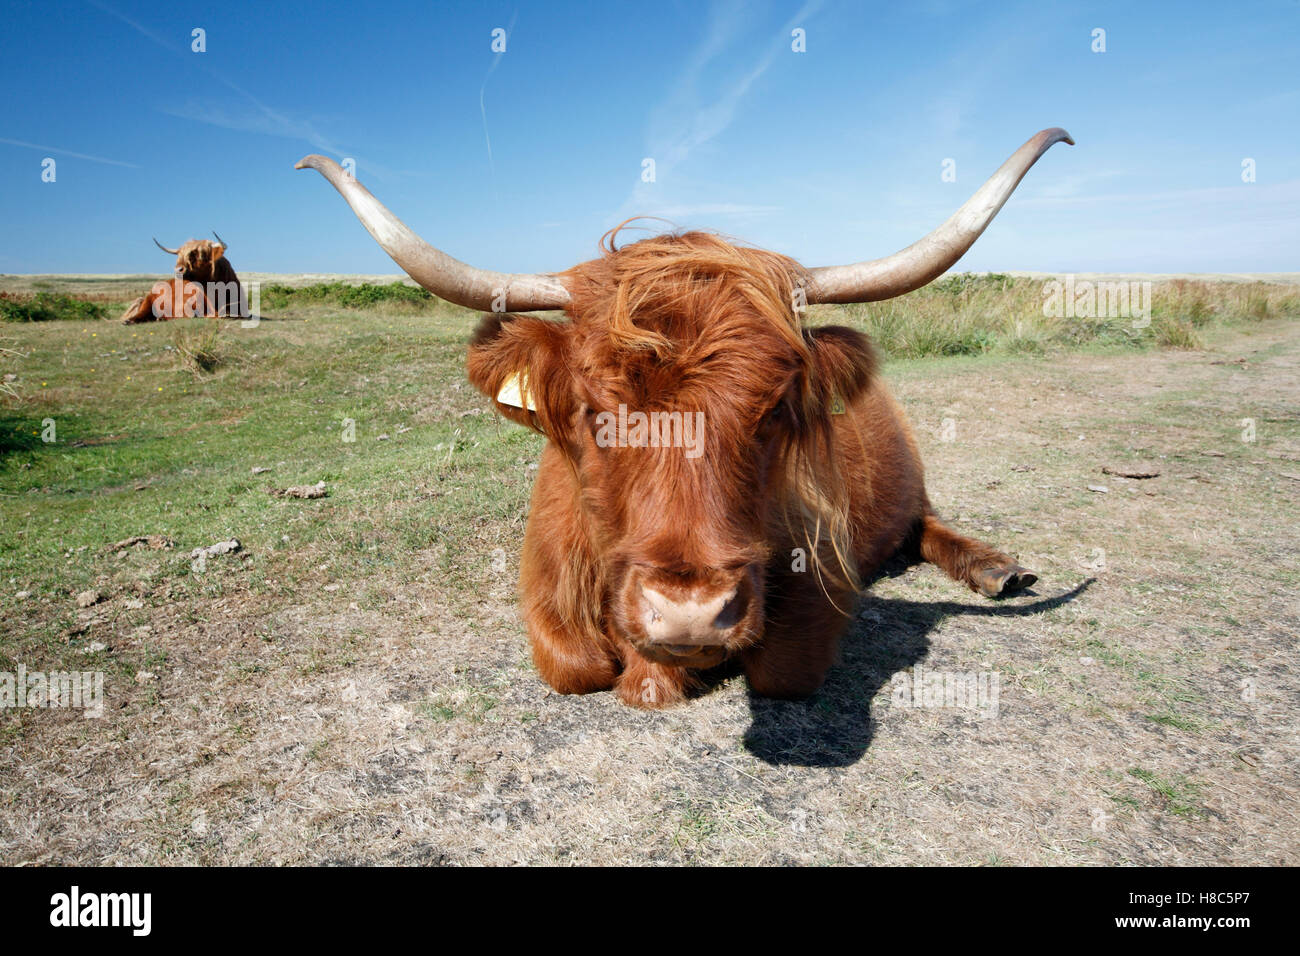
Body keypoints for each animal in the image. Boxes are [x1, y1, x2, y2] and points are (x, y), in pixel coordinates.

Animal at [297, 128, 1073, 708]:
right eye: (593, 413)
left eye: (773, 410)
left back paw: (999, 568)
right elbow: (574, 665)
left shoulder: (821, 570)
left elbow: (781, 668)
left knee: (925, 523)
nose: (690, 612)